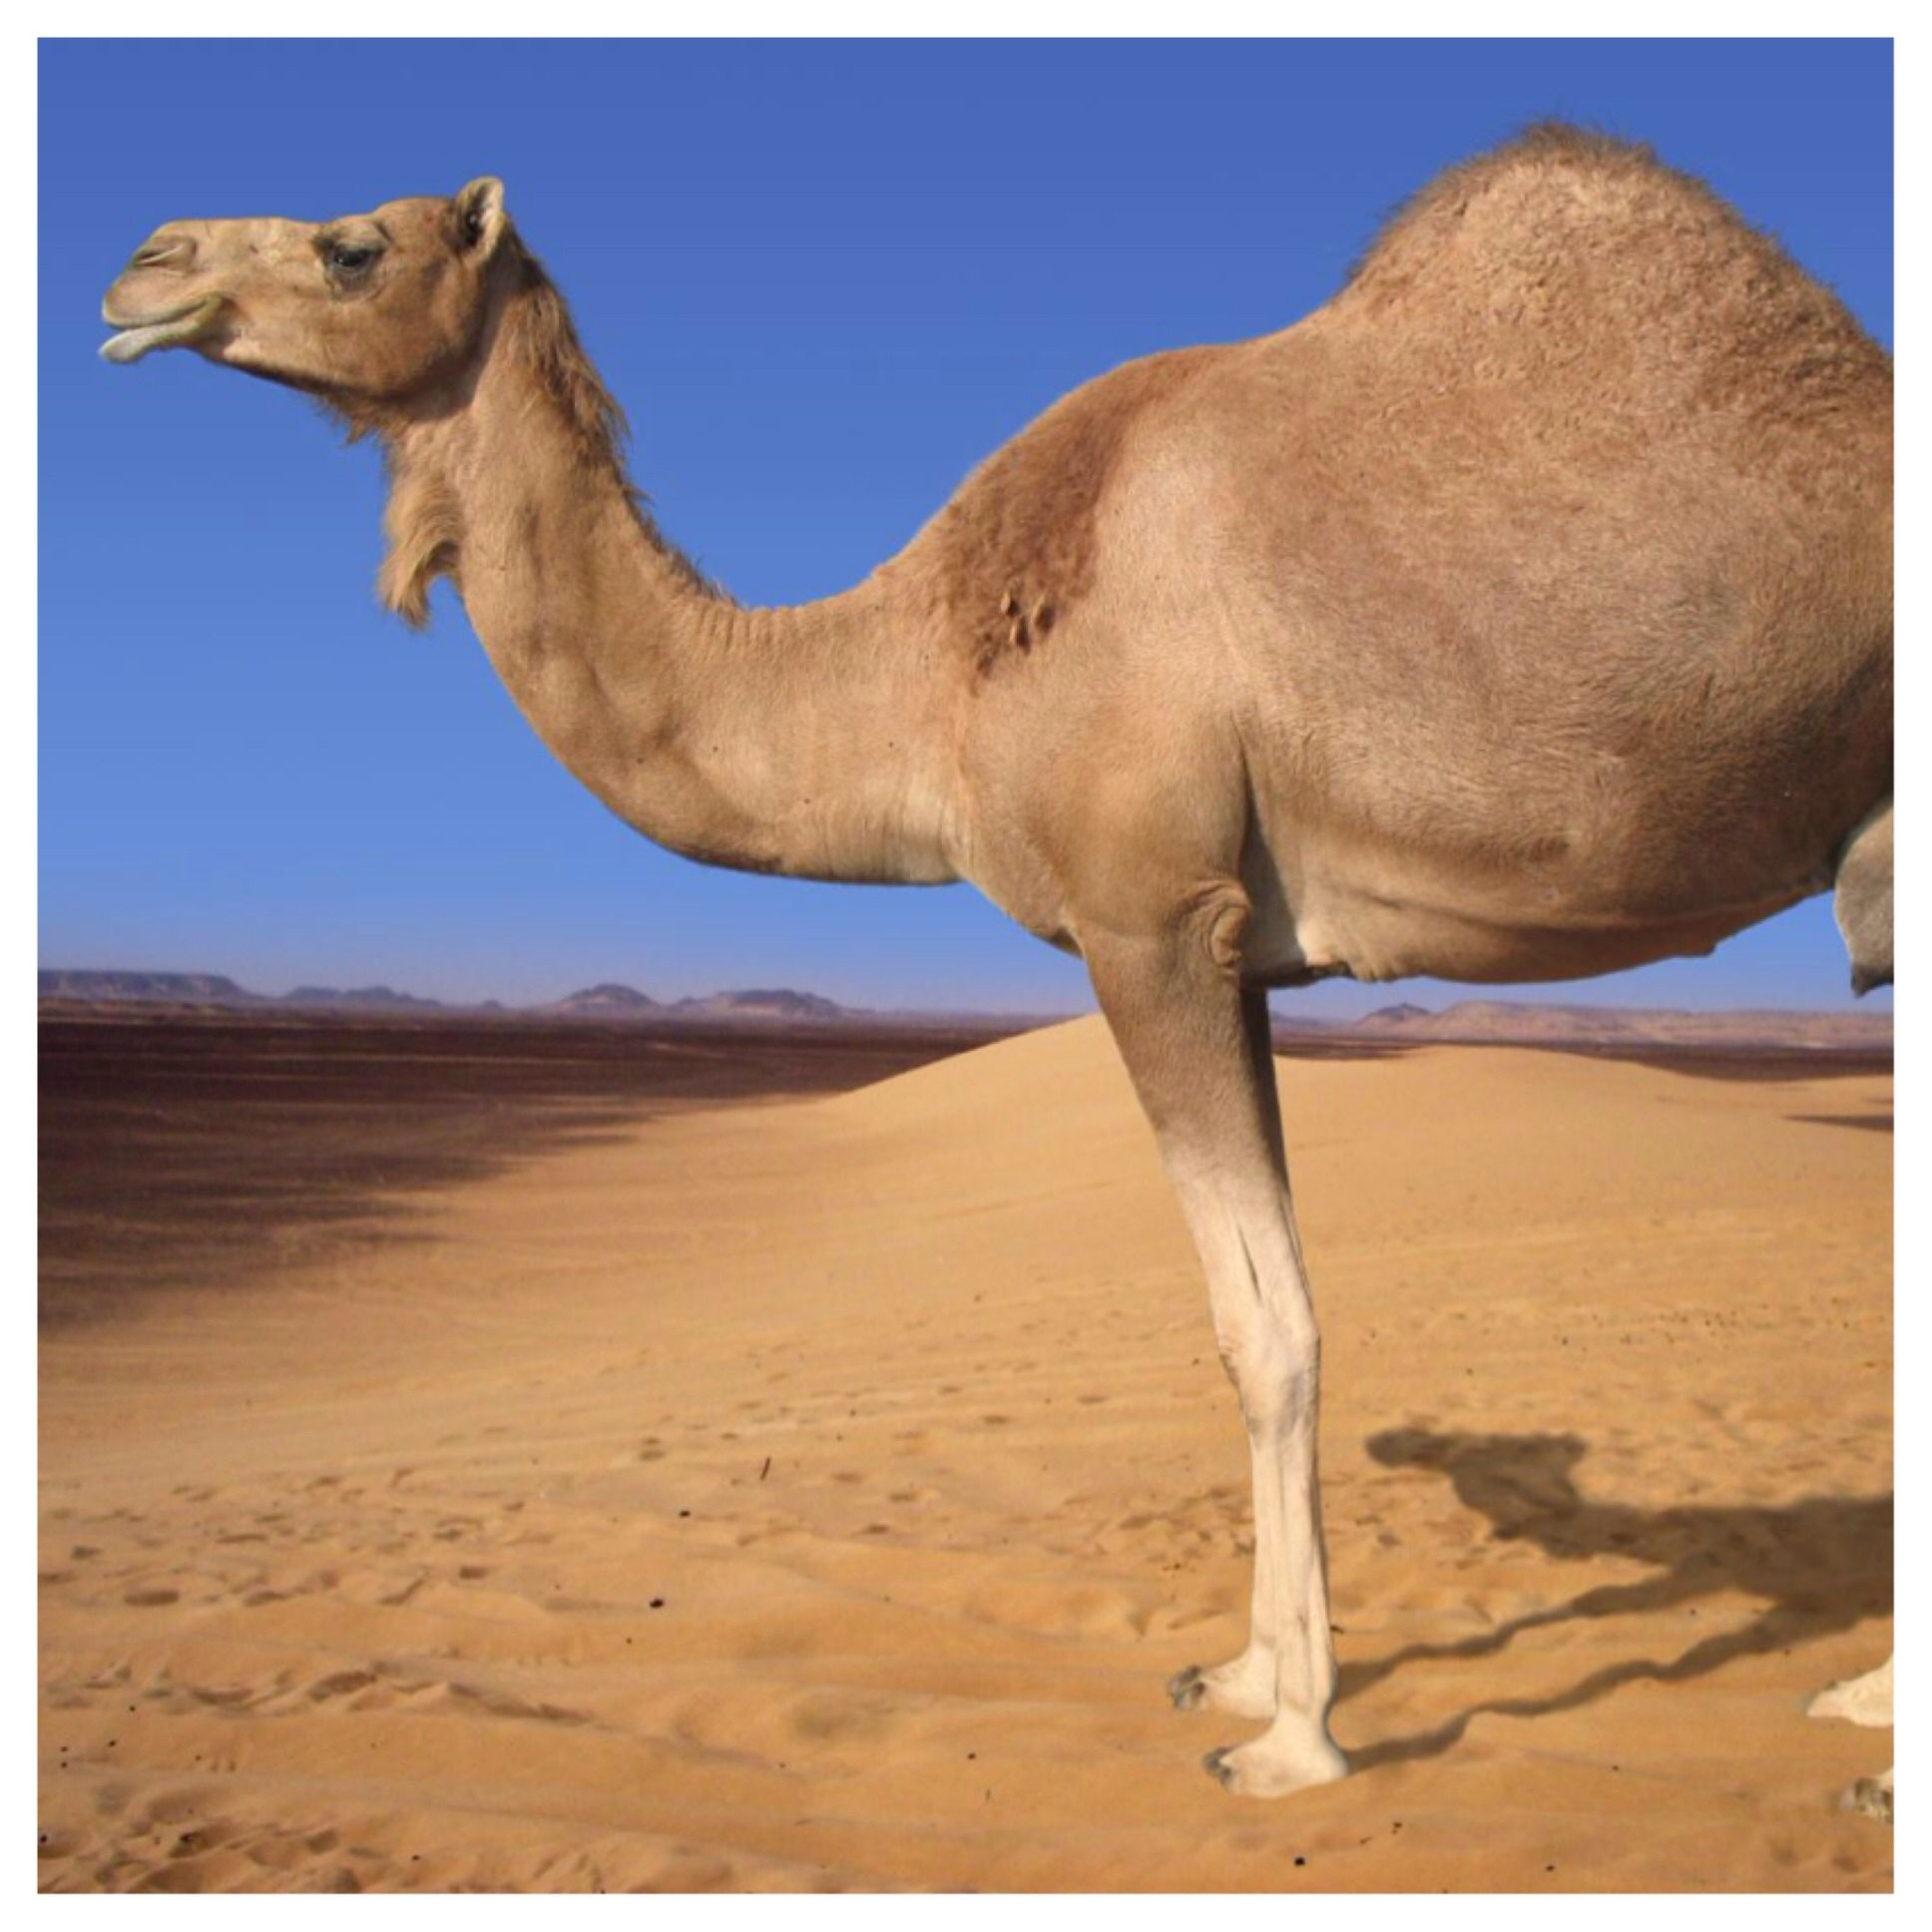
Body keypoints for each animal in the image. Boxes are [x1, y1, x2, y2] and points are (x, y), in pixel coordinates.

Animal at [99, 124, 1892, 1803]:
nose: (141, 262)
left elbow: (1266, 1328)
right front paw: (1239, 1675)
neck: (925, 670)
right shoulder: (1235, 950)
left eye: (352, 244)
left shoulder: (1146, 915)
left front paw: (1295, 1740)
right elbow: (1258, 1309)